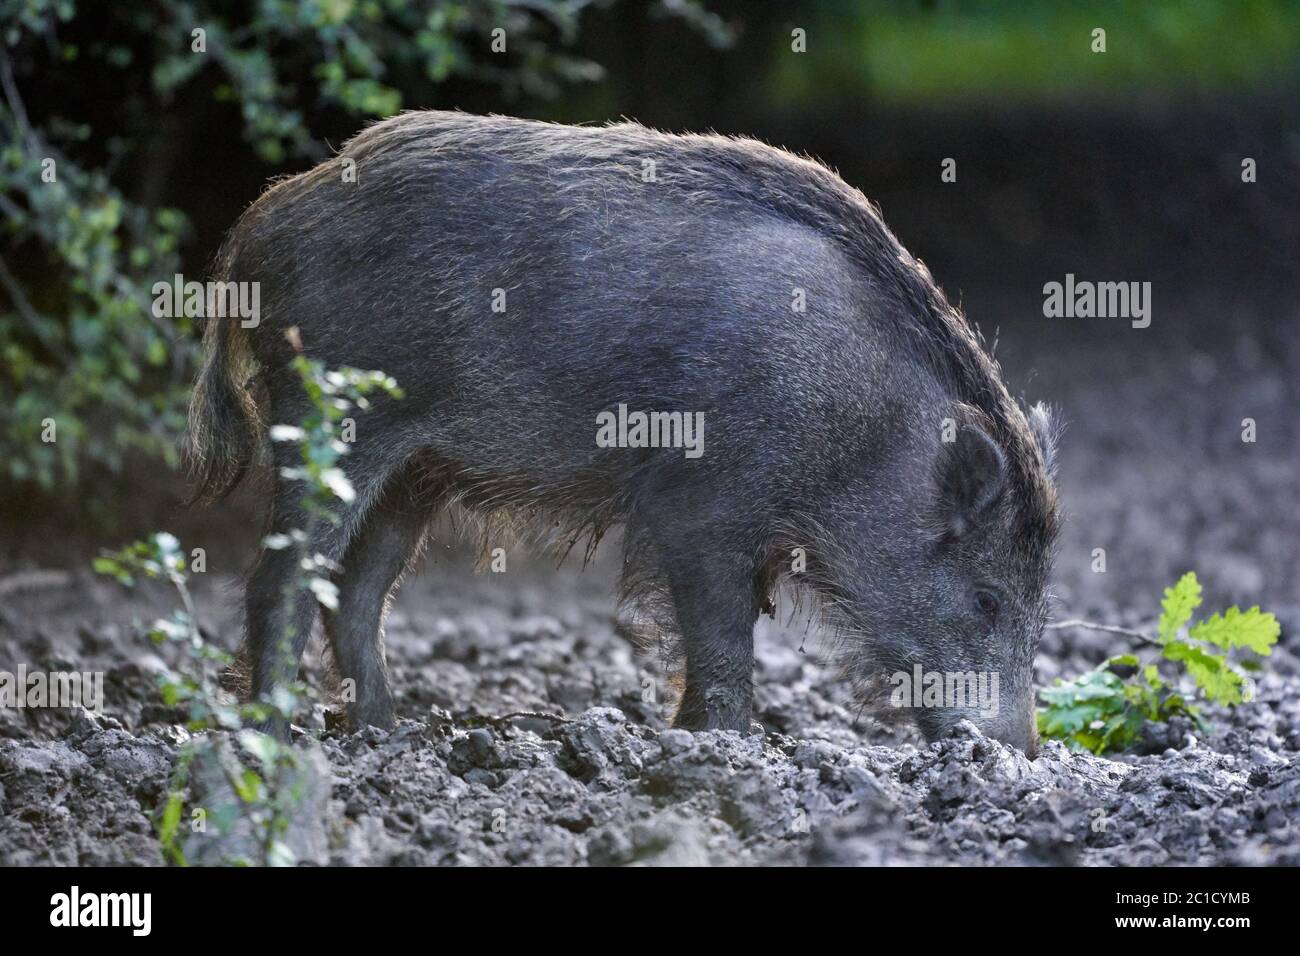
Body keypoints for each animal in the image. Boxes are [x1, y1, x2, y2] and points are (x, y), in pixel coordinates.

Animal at [188, 111, 1061, 752]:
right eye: (987, 598)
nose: (1020, 749)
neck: (858, 432)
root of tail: (256, 228)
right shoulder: (701, 506)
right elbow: (720, 638)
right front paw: (727, 746)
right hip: (331, 423)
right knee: (284, 575)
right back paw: (280, 736)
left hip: (416, 467)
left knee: (358, 589)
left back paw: (386, 733)